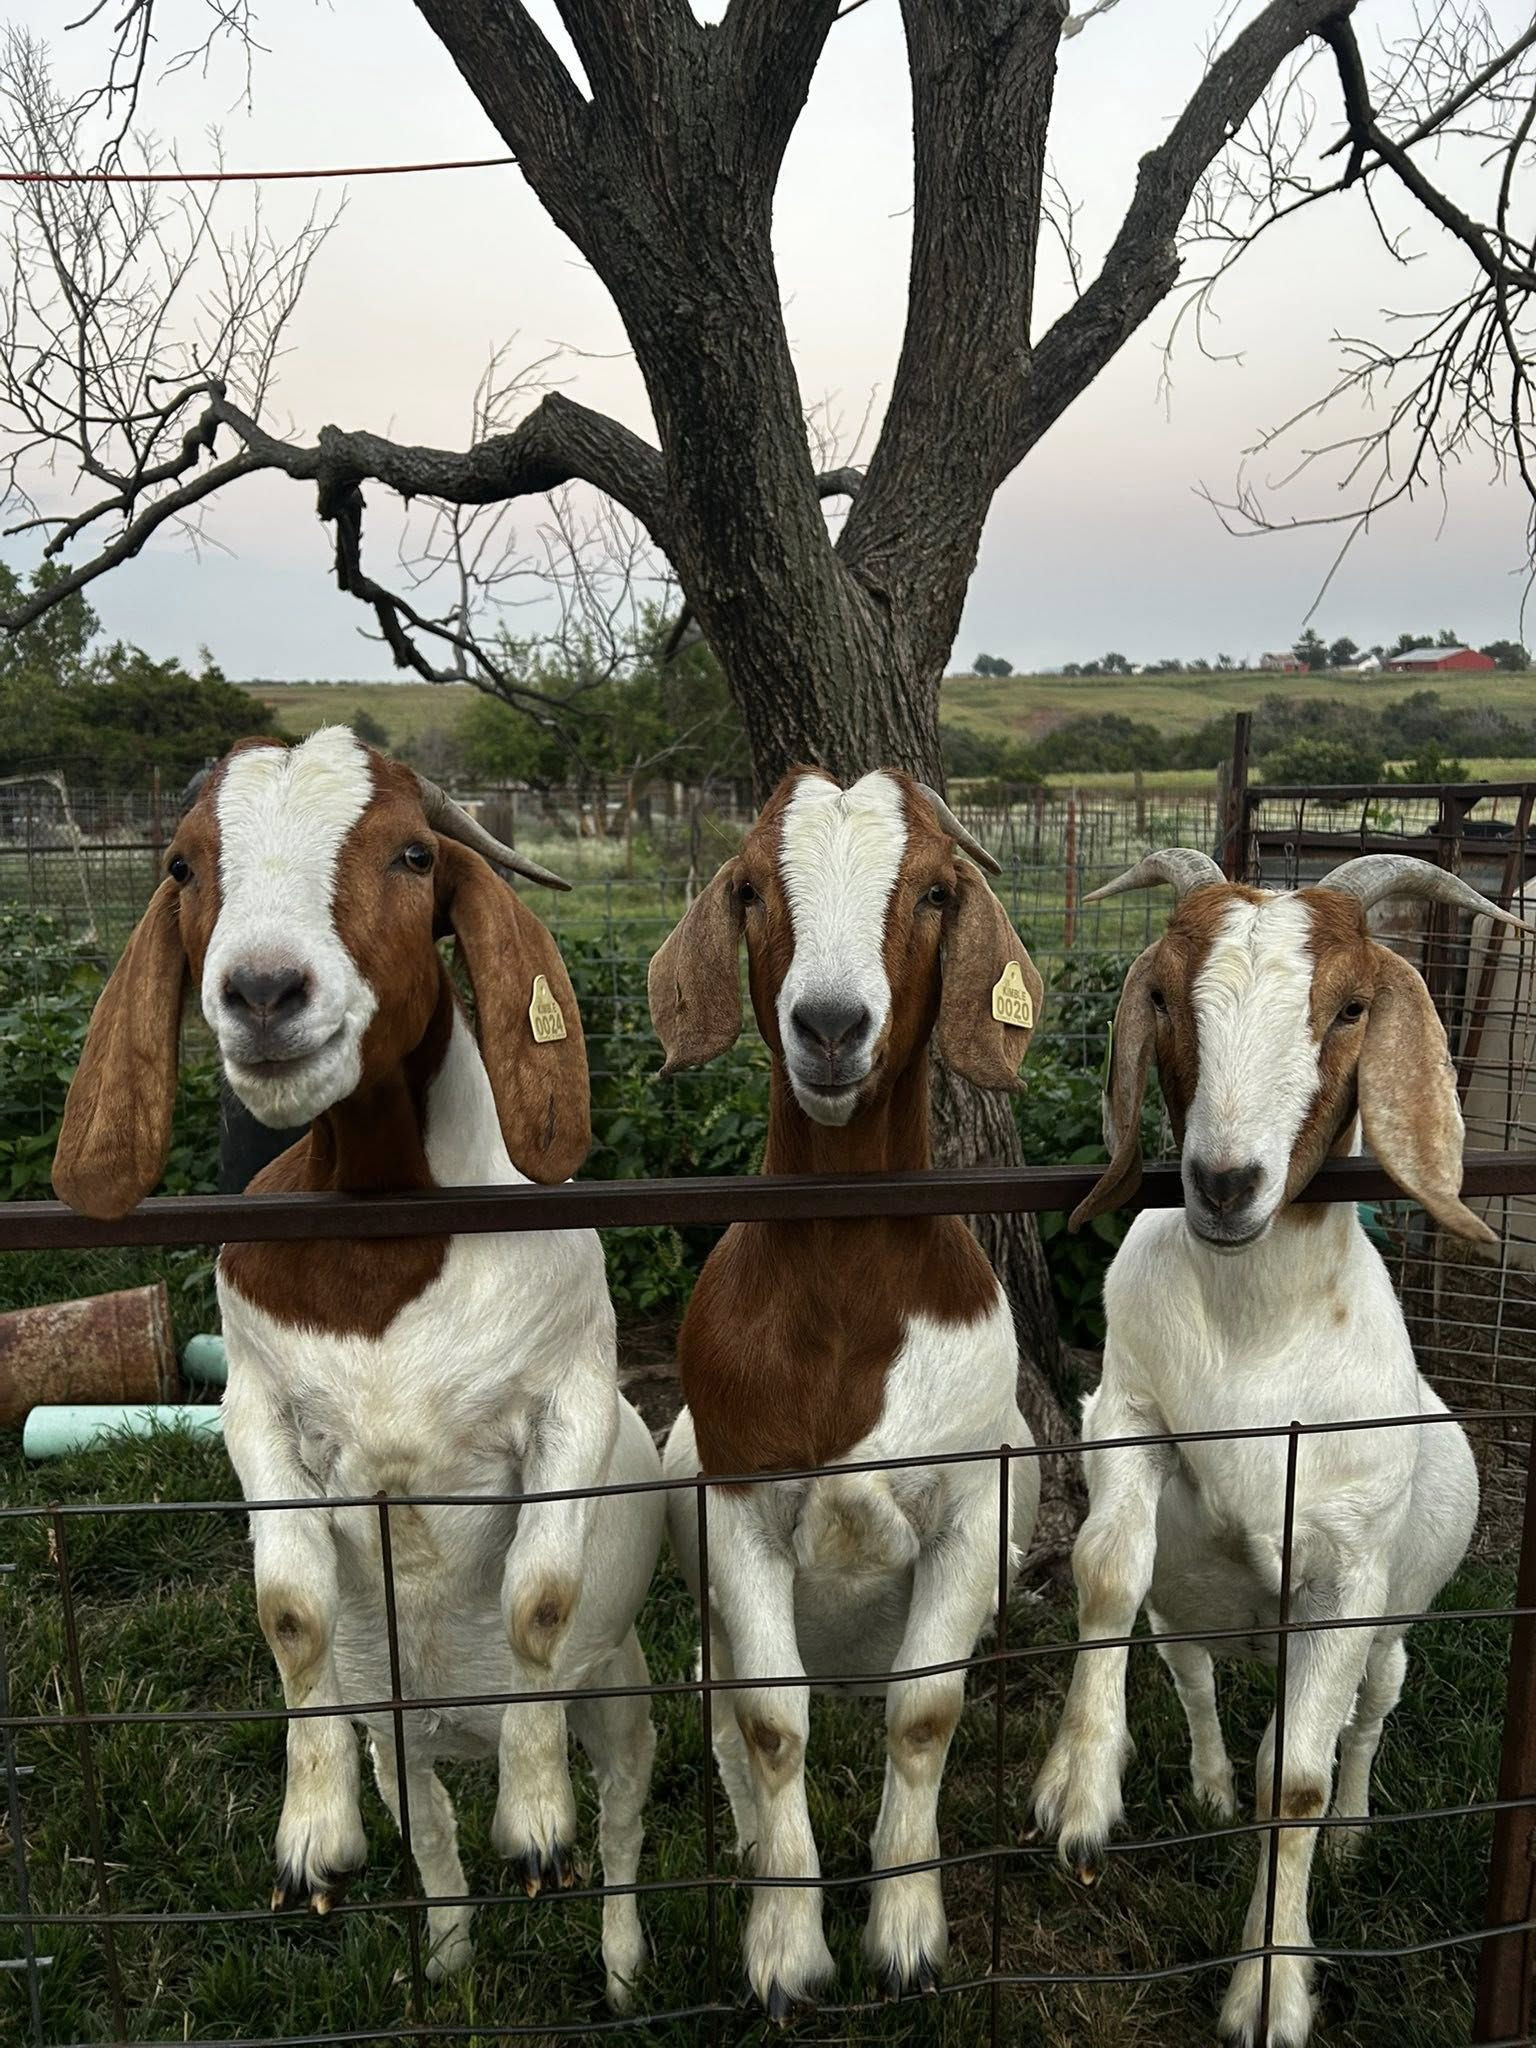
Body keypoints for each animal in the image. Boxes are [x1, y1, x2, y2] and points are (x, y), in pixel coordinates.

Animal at [53, 727, 664, 2007]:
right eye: (184, 865)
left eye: (412, 853)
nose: (262, 991)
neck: (389, 1248)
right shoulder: (257, 1411)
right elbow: (289, 1609)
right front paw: (310, 1841)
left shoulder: (572, 1397)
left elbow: (537, 1594)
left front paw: (536, 1824)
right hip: (407, 1737)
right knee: (430, 1834)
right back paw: (450, 1965)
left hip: (621, 1690)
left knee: (628, 1813)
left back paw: (624, 1965)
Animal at [648, 767, 1044, 2014]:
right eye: (750, 886)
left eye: (932, 890)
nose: (829, 1024)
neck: (848, 1319)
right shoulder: (739, 1510)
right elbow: (775, 1727)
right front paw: (786, 1951)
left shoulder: (968, 1510)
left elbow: (924, 1714)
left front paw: (907, 1933)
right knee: (728, 1707)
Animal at [1028, 848, 1520, 2047]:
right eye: (1165, 996)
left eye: (1349, 1007)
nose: (1223, 1183)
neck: (1252, 1338)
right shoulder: (1129, 1408)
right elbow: (1104, 1569)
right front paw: (1079, 1789)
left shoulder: (1345, 1566)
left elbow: (1293, 1781)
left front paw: (1272, 1987)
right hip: (1193, 1613)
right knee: (1202, 1682)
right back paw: (1209, 1781)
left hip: (1391, 1632)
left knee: (1363, 1720)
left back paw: (1349, 1832)